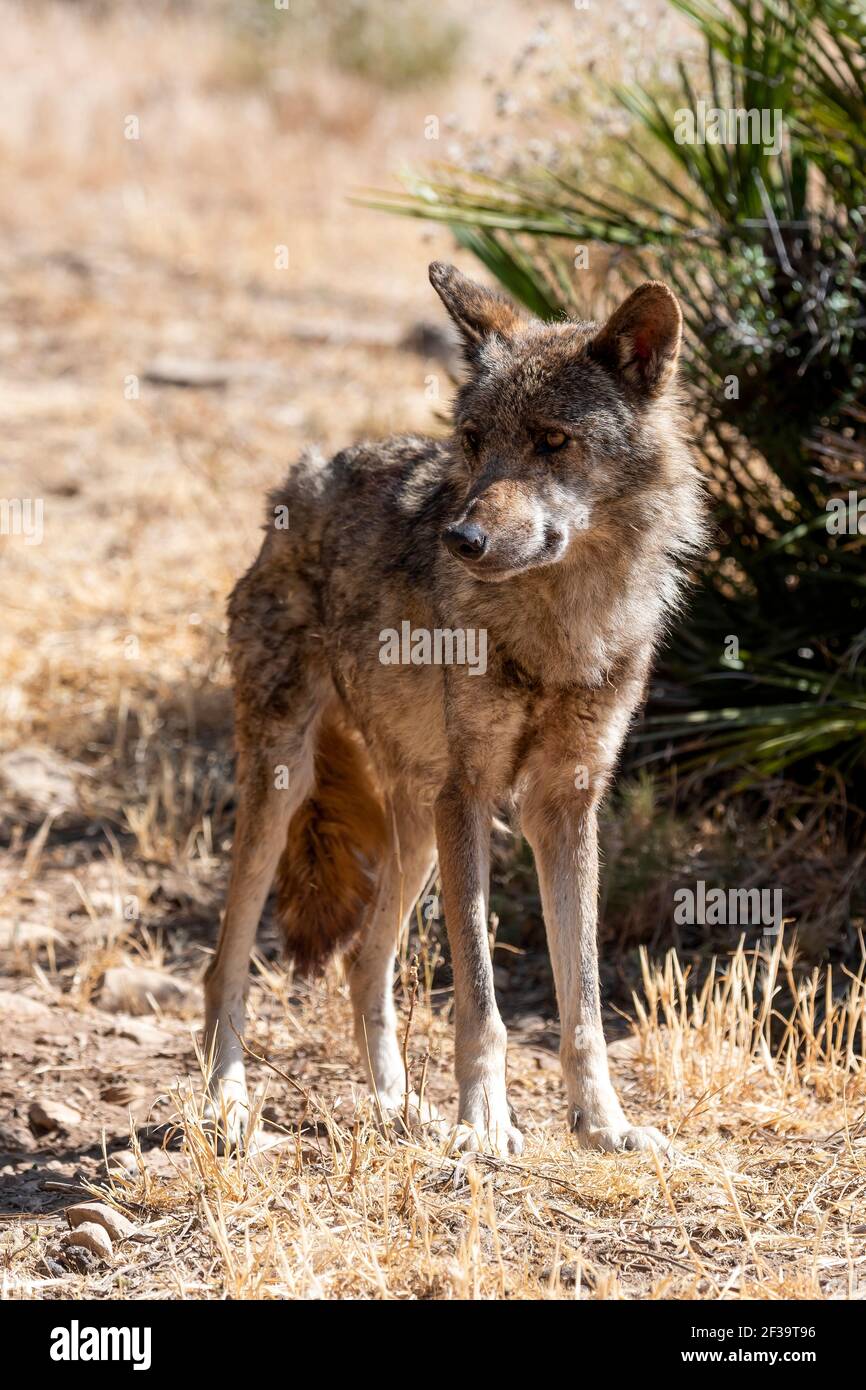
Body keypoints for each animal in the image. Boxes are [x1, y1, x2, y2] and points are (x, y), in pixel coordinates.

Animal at [203, 262, 705, 1156]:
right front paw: (484, 1125)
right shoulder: (471, 793)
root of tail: (303, 477)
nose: (461, 540)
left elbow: (582, 1006)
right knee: (225, 966)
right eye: (473, 442)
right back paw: (227, 1107)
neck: (562, 623)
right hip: (290, 785)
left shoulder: (564, 804)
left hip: (417, 826)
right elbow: (481, 1000)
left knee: (363, 962)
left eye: (552, 441)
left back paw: (398, 1107)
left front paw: (604, 1126)